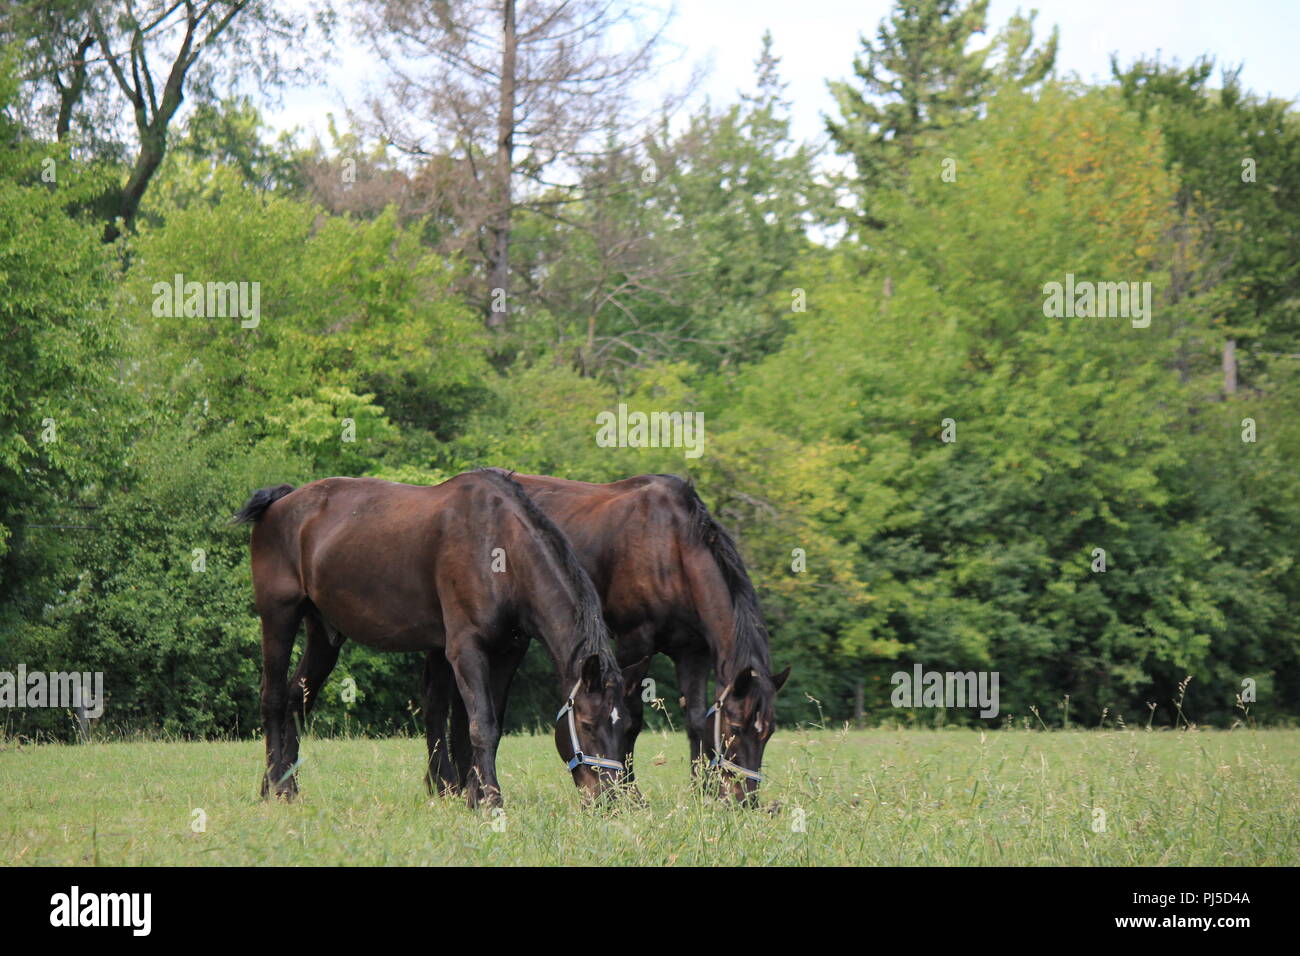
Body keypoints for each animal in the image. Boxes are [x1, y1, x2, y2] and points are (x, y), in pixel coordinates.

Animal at [232, 468, 645, 808]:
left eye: (626, 726)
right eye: (587, 725)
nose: (609, 798)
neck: (498, 546)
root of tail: (282, 501)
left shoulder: (507, 651)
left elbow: (481, 725)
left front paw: (474, 795)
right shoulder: (466, 648)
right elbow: (481, 725)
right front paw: (491, 801)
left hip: (323, 634)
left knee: (295, 699)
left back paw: (281, 786)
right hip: (279, 616)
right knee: (273, 698)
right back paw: (278, 786)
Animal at [434, 471, 789, 803]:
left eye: (769, 732)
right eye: (736, 728)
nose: (744, 798)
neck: (671, 545)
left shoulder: (693, 651)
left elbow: (697, 722)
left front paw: (703, 791)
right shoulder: (635, 641)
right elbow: (632, 718)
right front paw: (632, 792)